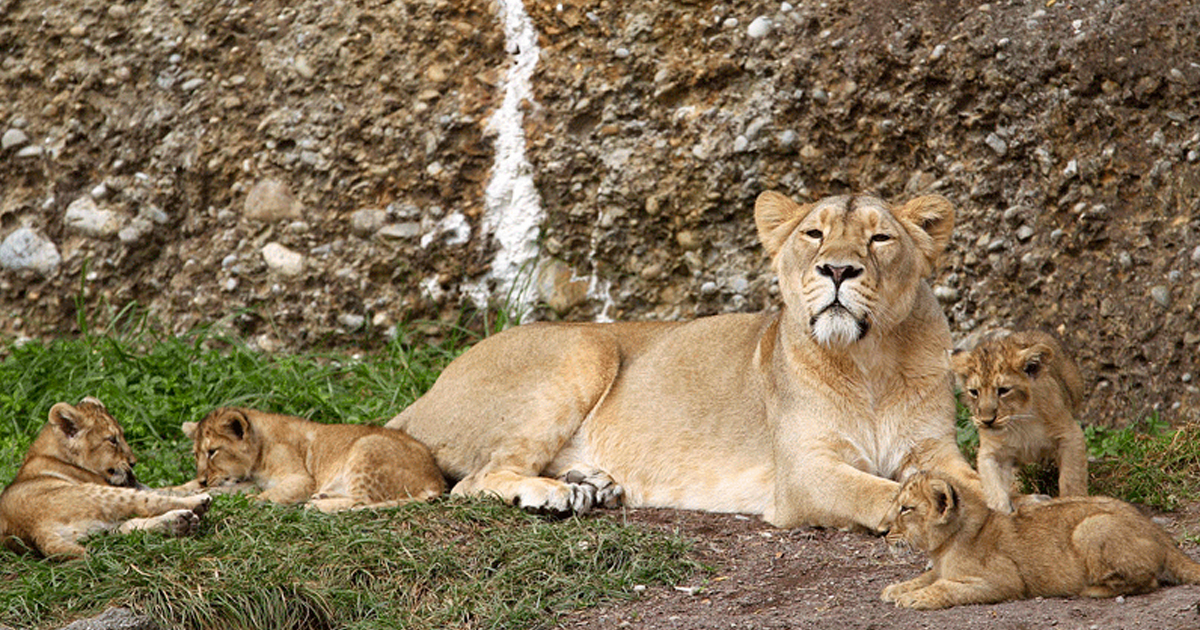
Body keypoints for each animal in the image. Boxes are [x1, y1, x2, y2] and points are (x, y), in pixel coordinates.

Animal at [0, 397, 212, 559]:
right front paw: (202, 490)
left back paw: (180, 523)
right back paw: (198, 503)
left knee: (126, 529)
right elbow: (164, 492)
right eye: (112, 440)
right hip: (101, 494)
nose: (133, 462)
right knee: (149, 504)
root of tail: (36, 530)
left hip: (98, 532)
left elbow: (168, 488)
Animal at [178, 408, 445, 512]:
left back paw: (316, 505)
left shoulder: (302, 479)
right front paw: (191, 491)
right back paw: (324, 497)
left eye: (213, 451)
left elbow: (265, 496)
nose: (202, 480)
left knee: (363, 501)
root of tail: (436, 480)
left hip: (366, 445)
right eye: (196, 454)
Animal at [385, 191, 979, 531]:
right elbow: (885, 491)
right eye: (815, 233)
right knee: (472, 481)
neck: (868, 359)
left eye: (880, 238)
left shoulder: (935, 448)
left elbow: (978, 481)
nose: (837, 269)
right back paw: (555, 494)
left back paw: (593, 484)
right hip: (583, 346)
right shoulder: (803, 473)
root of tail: (421, 400)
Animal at [881, 470, 1200, 609]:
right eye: (895, 503)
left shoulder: (1004, 580)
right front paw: (895, 589)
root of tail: (1160, 534)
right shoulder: (939, 568)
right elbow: (927, 578)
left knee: (1148, 581)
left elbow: (945, 586)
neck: (944, 546)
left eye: (906, 508)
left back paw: (1091, 591)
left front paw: (914, 598)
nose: (882, 531)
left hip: (1091, 527)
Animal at [952, 329, 1086, 512]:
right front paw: (1001, 511)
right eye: (974, 392)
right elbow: (994, 488)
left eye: (1003, 390)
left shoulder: (1070, 435)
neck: (1020, 422)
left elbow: (1072, 479)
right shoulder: (991, 452)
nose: (987, 420)